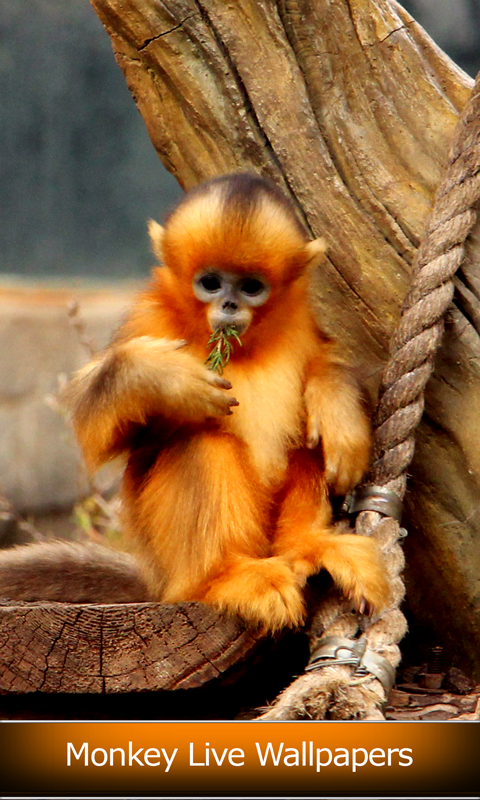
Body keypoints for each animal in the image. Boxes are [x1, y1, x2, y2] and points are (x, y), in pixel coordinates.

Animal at [0, 173, 390, 632]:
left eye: (251, 287)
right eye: (211, 283)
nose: (229, 305)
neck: (241, 349)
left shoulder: (302, 323)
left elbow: (326, 364)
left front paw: (336, 409)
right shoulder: (148, 320)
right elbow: (95, 428)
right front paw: (158, 377)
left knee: (304, 444)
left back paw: (308, 545)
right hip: (171, 564)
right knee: (202, 440)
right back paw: (226, 576)